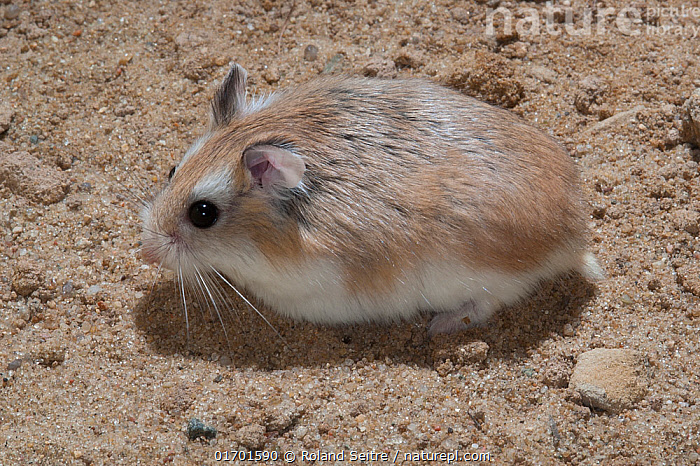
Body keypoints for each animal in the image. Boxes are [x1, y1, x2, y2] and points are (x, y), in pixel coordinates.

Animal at [140, 63, 602, 336]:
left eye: (202, 213)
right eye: (172, 171)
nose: (146, 252)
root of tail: (574, 237)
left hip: (476, 276)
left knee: (484, 305)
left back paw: (437, 326)